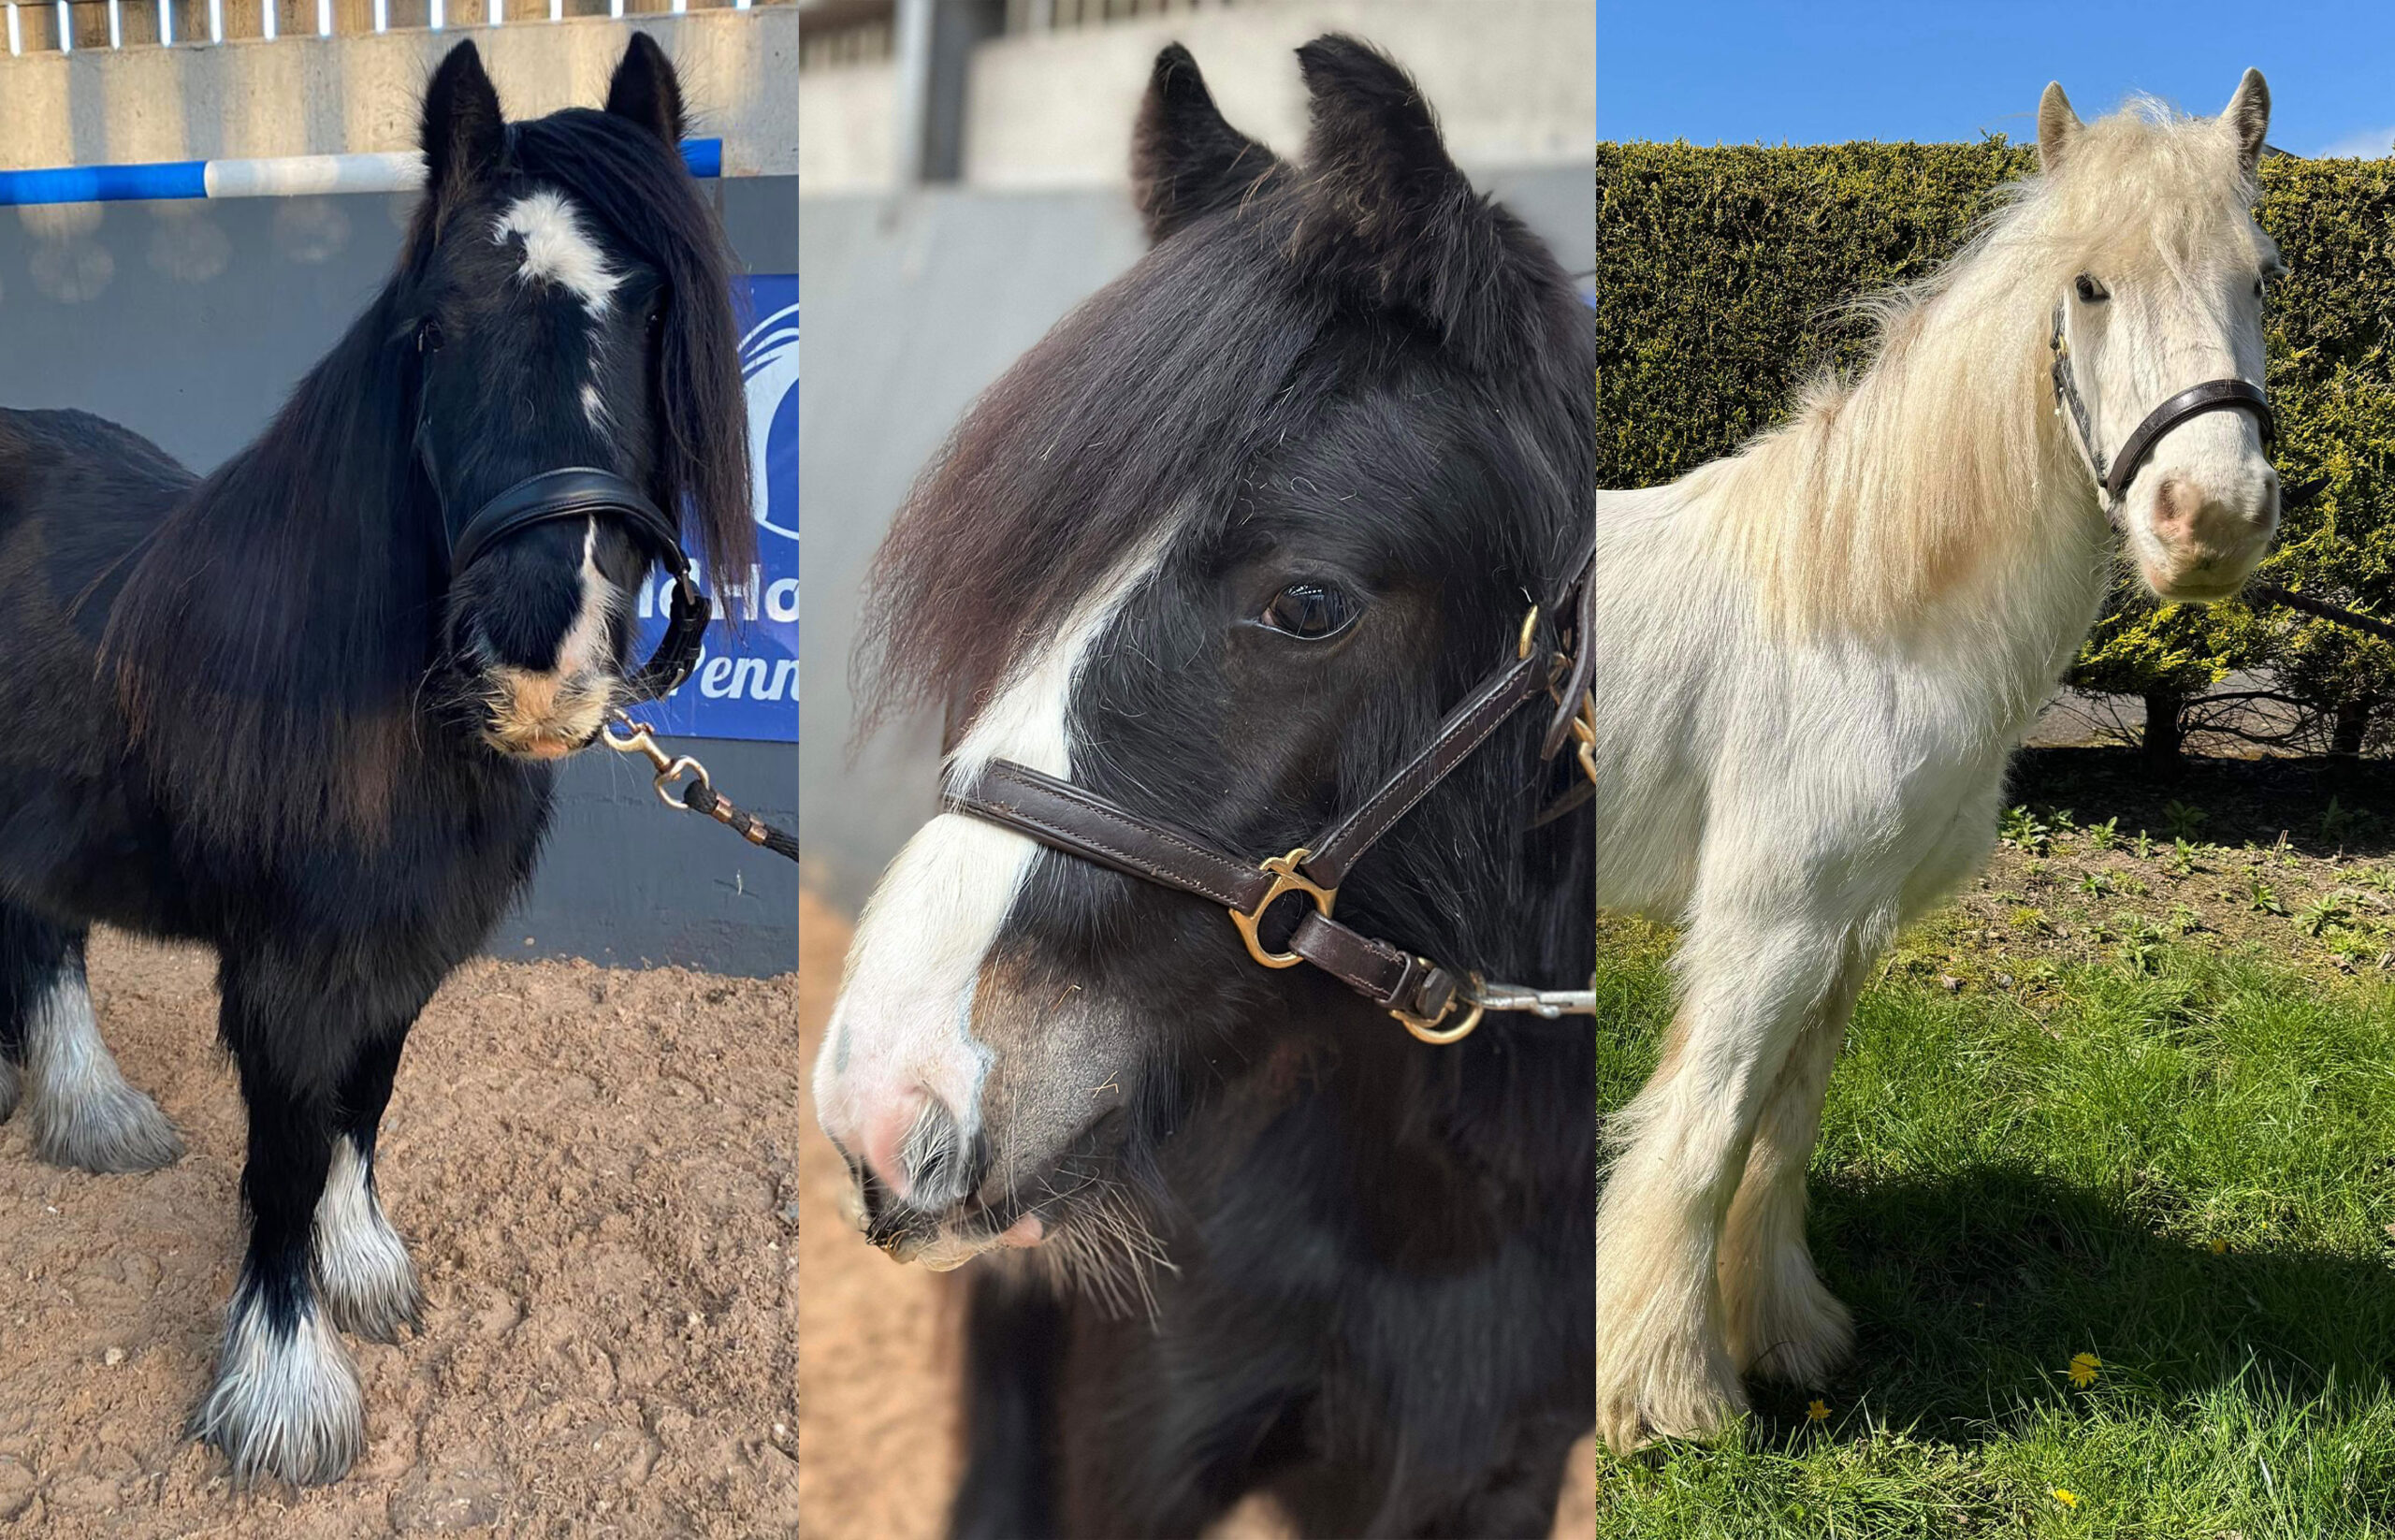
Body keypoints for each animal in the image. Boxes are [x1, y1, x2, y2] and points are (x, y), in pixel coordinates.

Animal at [0, 37, 751, 1485]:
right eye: (436, 328)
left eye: (649, 317)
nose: (541, 660)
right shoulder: (286, 969)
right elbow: (289, 1151)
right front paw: (287, 1395)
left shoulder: (399, 949)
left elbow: (363, 1106)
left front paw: (363, 1268)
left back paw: (92, 1113)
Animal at [1583, 74, 2281, 1450]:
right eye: (2088, 286)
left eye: (2261, 276)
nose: (2210, 522)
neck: (1864, 609)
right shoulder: (1768, 925)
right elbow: (1702, 1136)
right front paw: (1665, 1398)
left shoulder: (1843, 932)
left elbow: (1780, 1133)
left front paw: (1785, 1336)